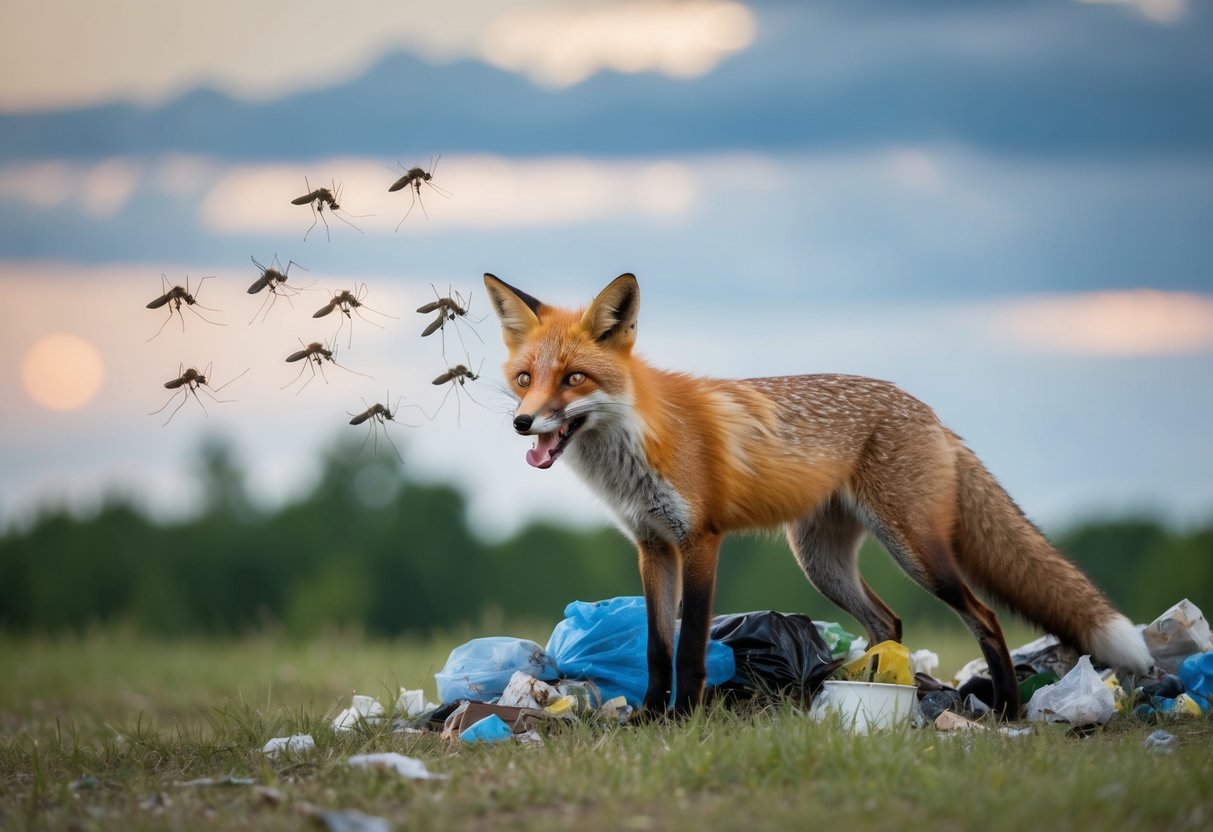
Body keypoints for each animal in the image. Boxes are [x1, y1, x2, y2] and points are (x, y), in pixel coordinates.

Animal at [484, 272, 1152, 717]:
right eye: (525, 378)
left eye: (574, 379)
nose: (522, 422)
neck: (638, 441)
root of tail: (932, 415)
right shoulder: (652, 545)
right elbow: (656, 647)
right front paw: (649, 716)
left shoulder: (700, 540)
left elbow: (691, 646)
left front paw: (683, 716)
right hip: (821, 561)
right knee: (888, 620)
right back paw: (883, 687)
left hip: (917, 552)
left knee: (984, 617)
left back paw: (1007, 709)